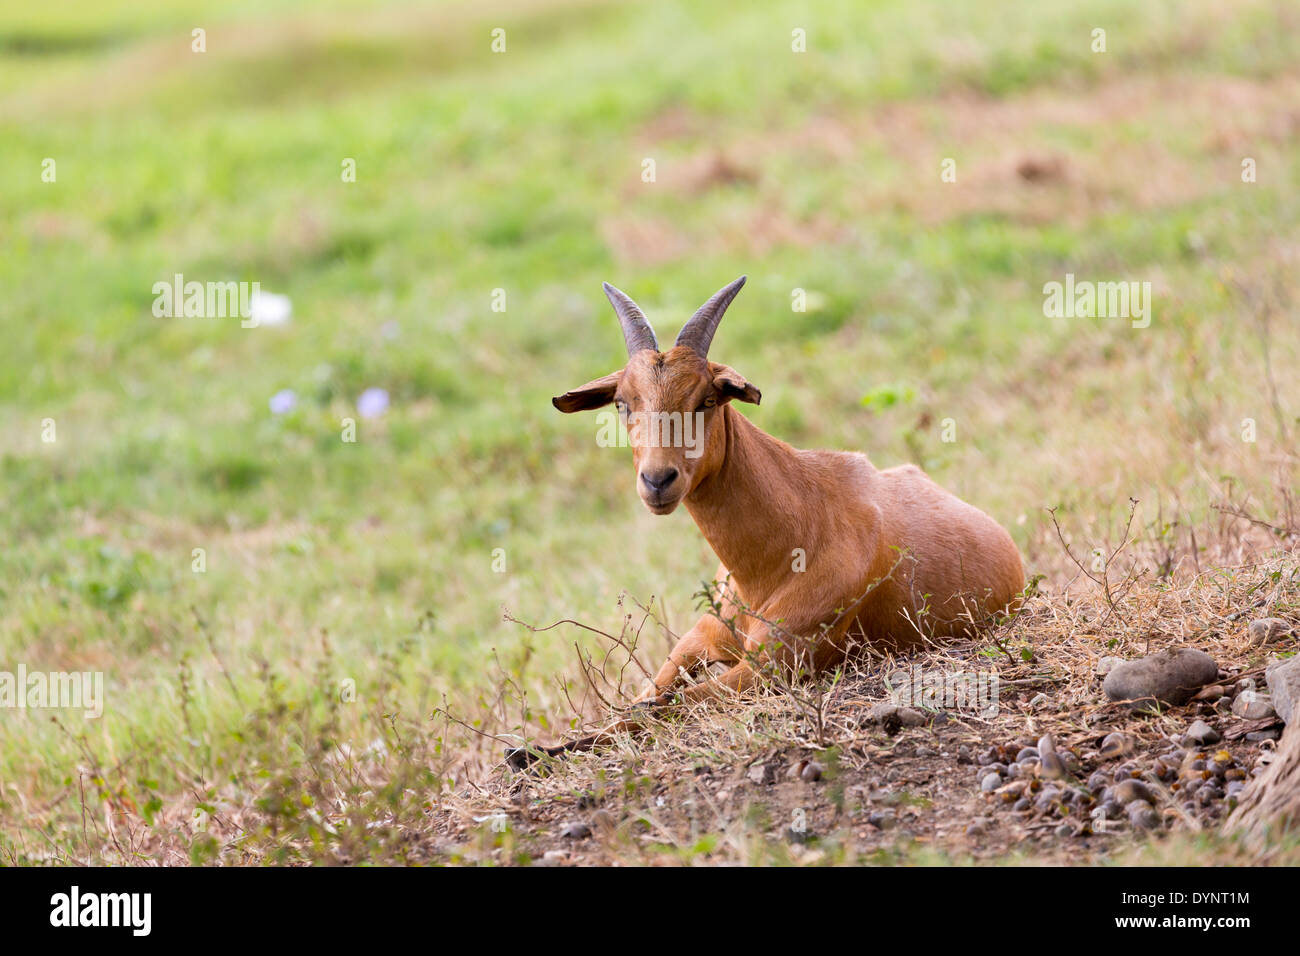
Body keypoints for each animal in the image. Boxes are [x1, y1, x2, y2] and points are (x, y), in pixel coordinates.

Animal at [507, 276, 1024, 769]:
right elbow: (643, 700)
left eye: (706, 399)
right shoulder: (700, 637)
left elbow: (666, 708)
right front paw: (528, 752)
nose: (657, 481)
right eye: (622, 402)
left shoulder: (771, 666)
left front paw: (532, 754)